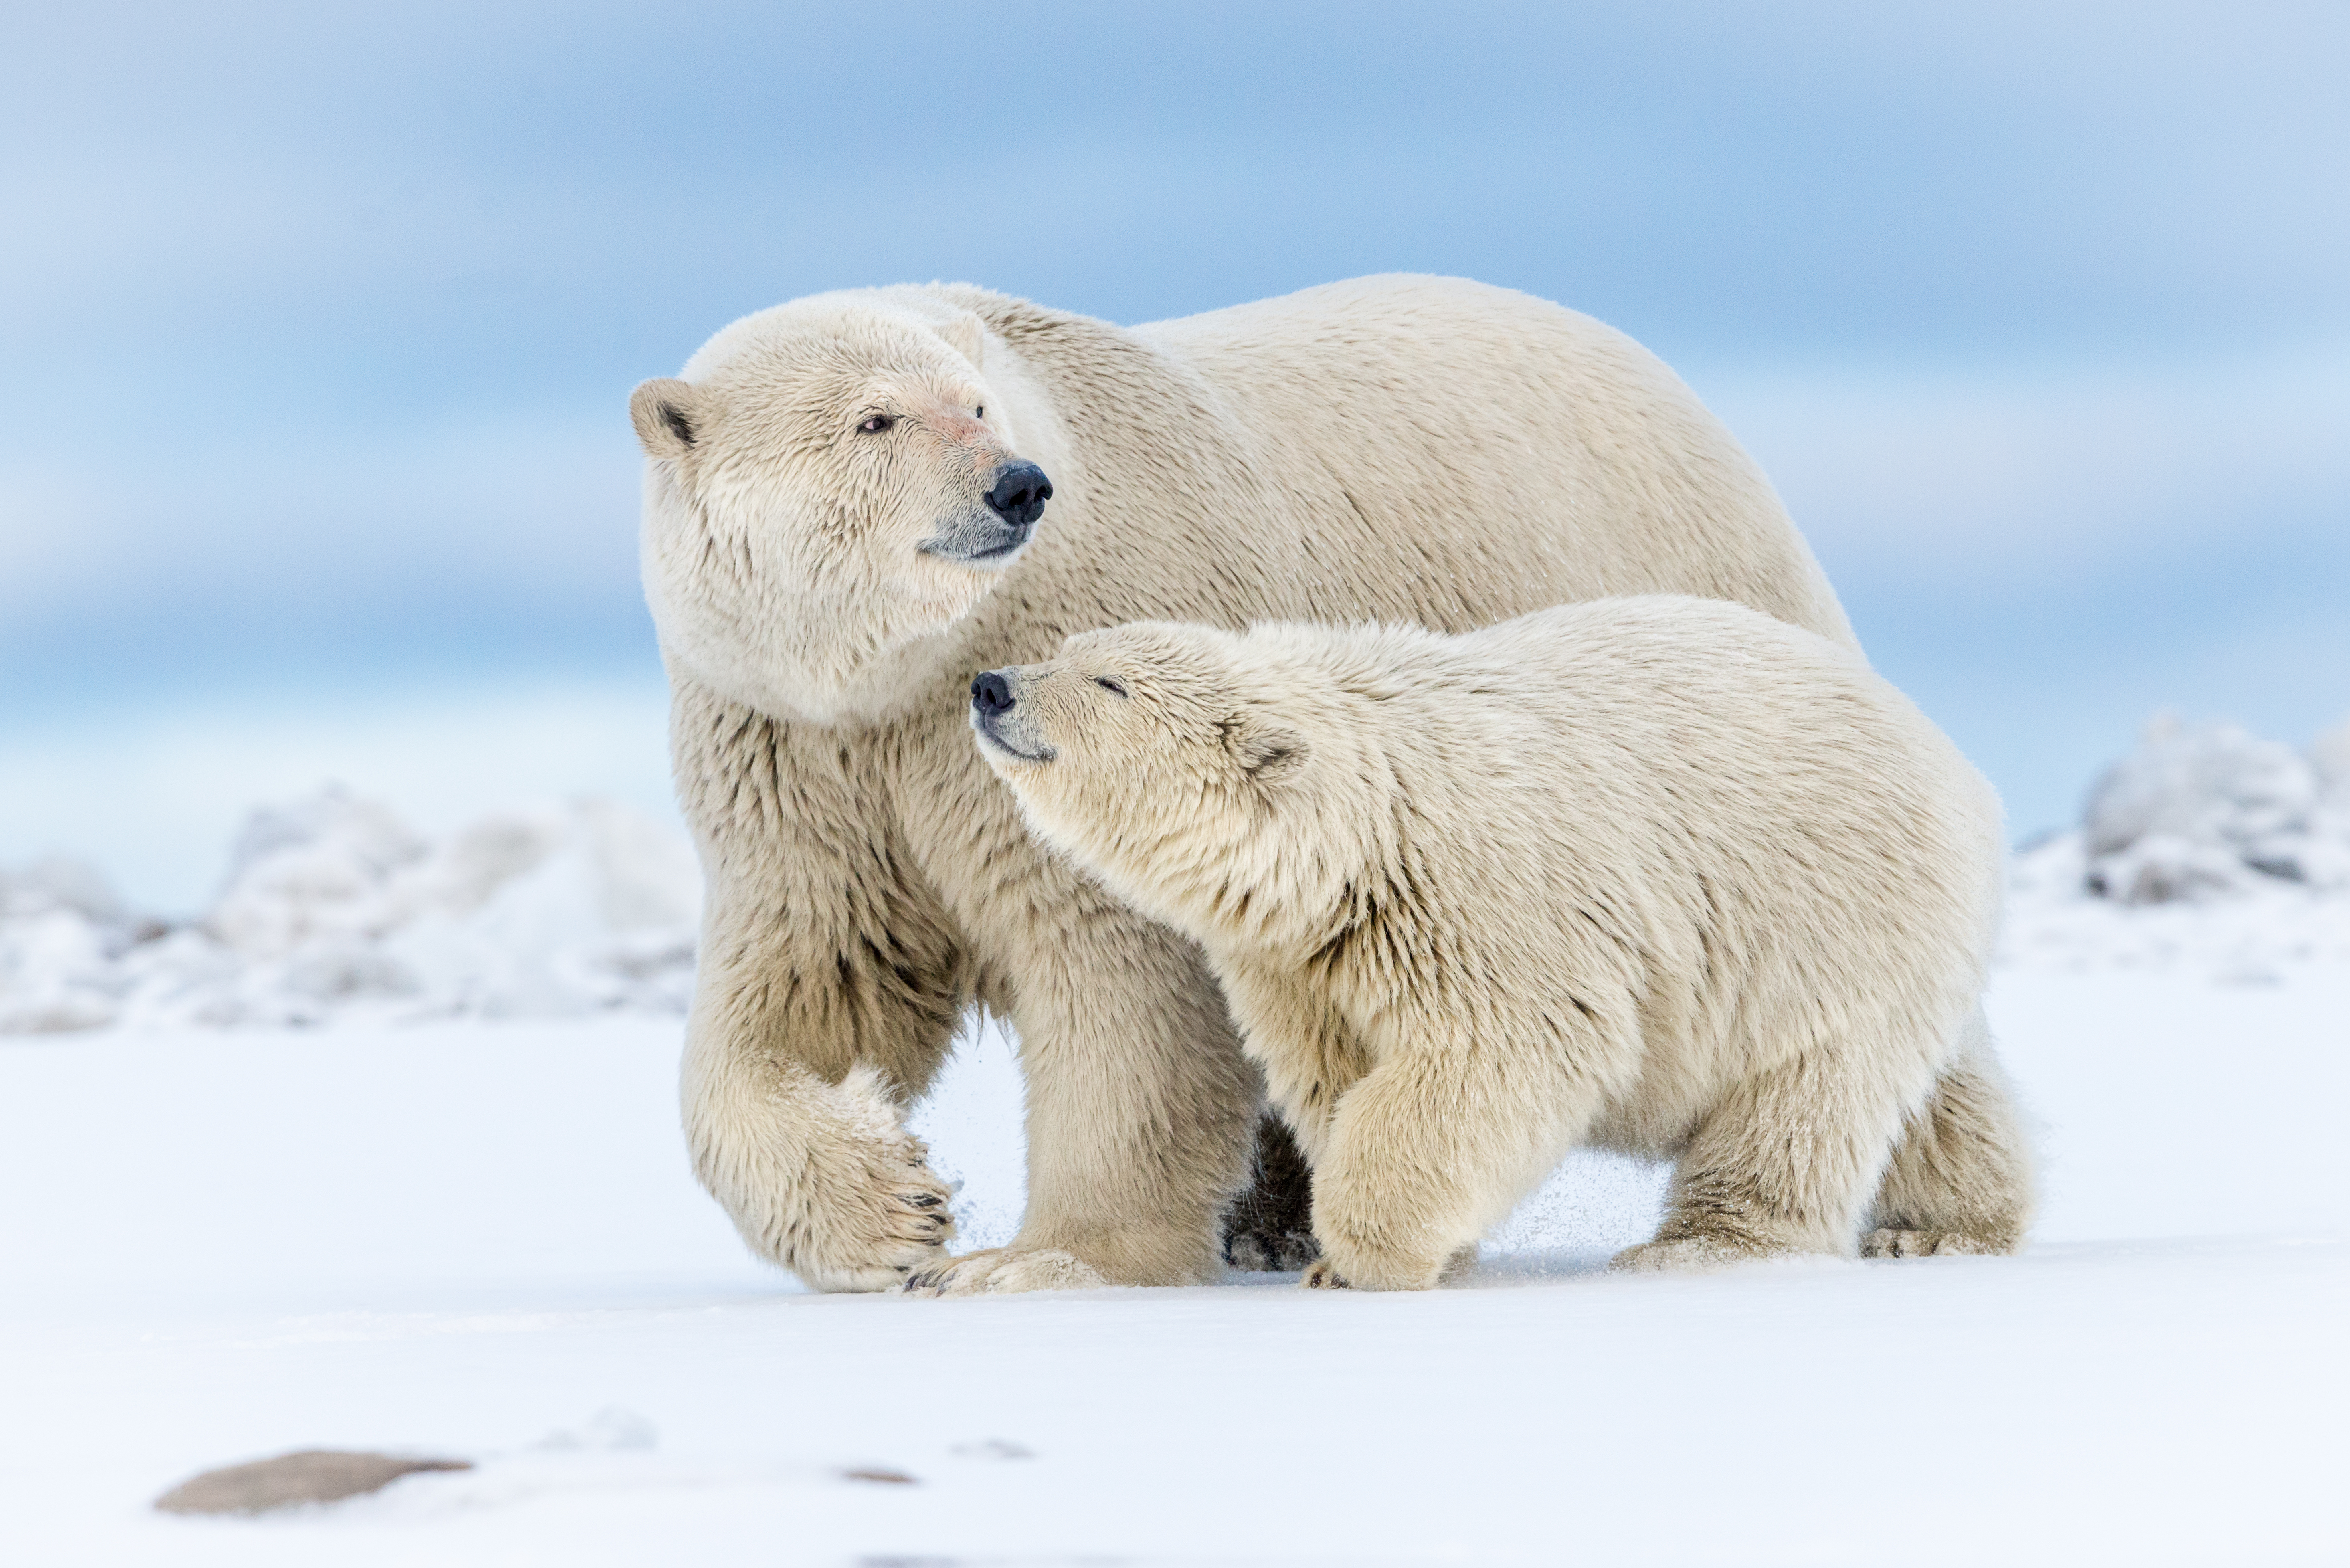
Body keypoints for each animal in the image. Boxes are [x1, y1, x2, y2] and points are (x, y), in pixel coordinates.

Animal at [629, 274, 1863, 1295]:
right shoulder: (797, 757)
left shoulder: (1064, 683)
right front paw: (891, 1209)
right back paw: (1276, 1222)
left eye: (976, 407)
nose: (1014, 487)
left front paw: (1037, 1259)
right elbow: (810, 989)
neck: (907, 673)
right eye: (873, 418)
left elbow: (1124, 979)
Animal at [970, 597, 2035, 1290]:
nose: (990, 686)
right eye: (1067, 646)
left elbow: (1490, 1058)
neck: (1365, 822)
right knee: (1939, 1097)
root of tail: (1961, 768)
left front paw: (1366, 1255)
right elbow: (1334, 1077)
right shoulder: (1302, 959)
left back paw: (1702, 1245)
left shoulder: (1486, 892)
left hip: (1824, 912)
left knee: (1800, 1094)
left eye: (1108, 682)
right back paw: (1941, 1228)